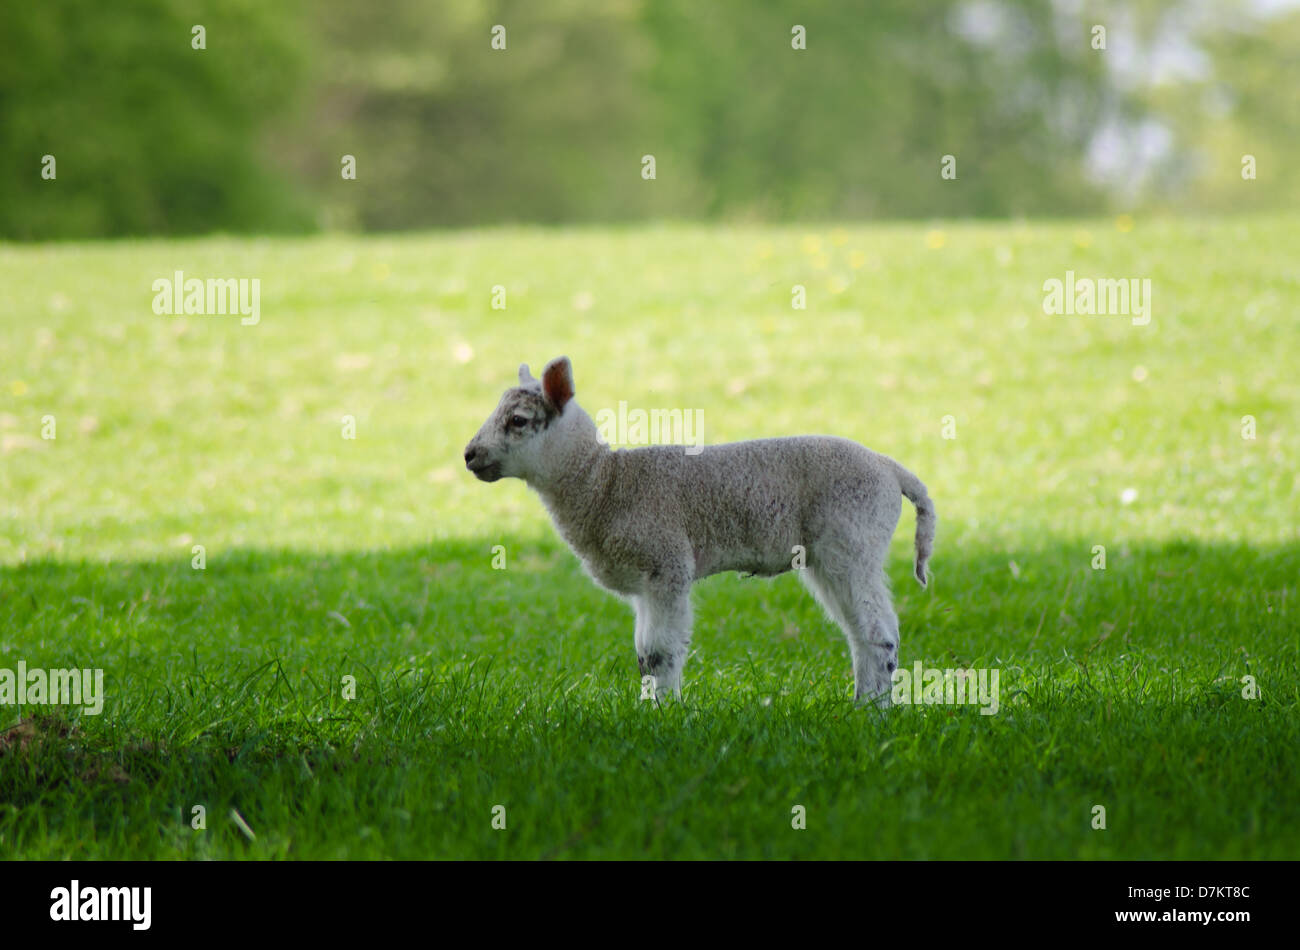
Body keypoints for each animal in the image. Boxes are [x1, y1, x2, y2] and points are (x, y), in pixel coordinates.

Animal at [467, 356, 935, 706]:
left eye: (518, 420)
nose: (469, 454)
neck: (604, 484)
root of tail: (890, 469)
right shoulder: (644, 583)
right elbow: (642, 654)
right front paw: (647, 710)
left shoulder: (667, 563)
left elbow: (661, 652)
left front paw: (666, 713)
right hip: (831, 555)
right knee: (860, 631)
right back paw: (862, 704)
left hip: (852, 540)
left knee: (879, 633)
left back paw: (872, 711)